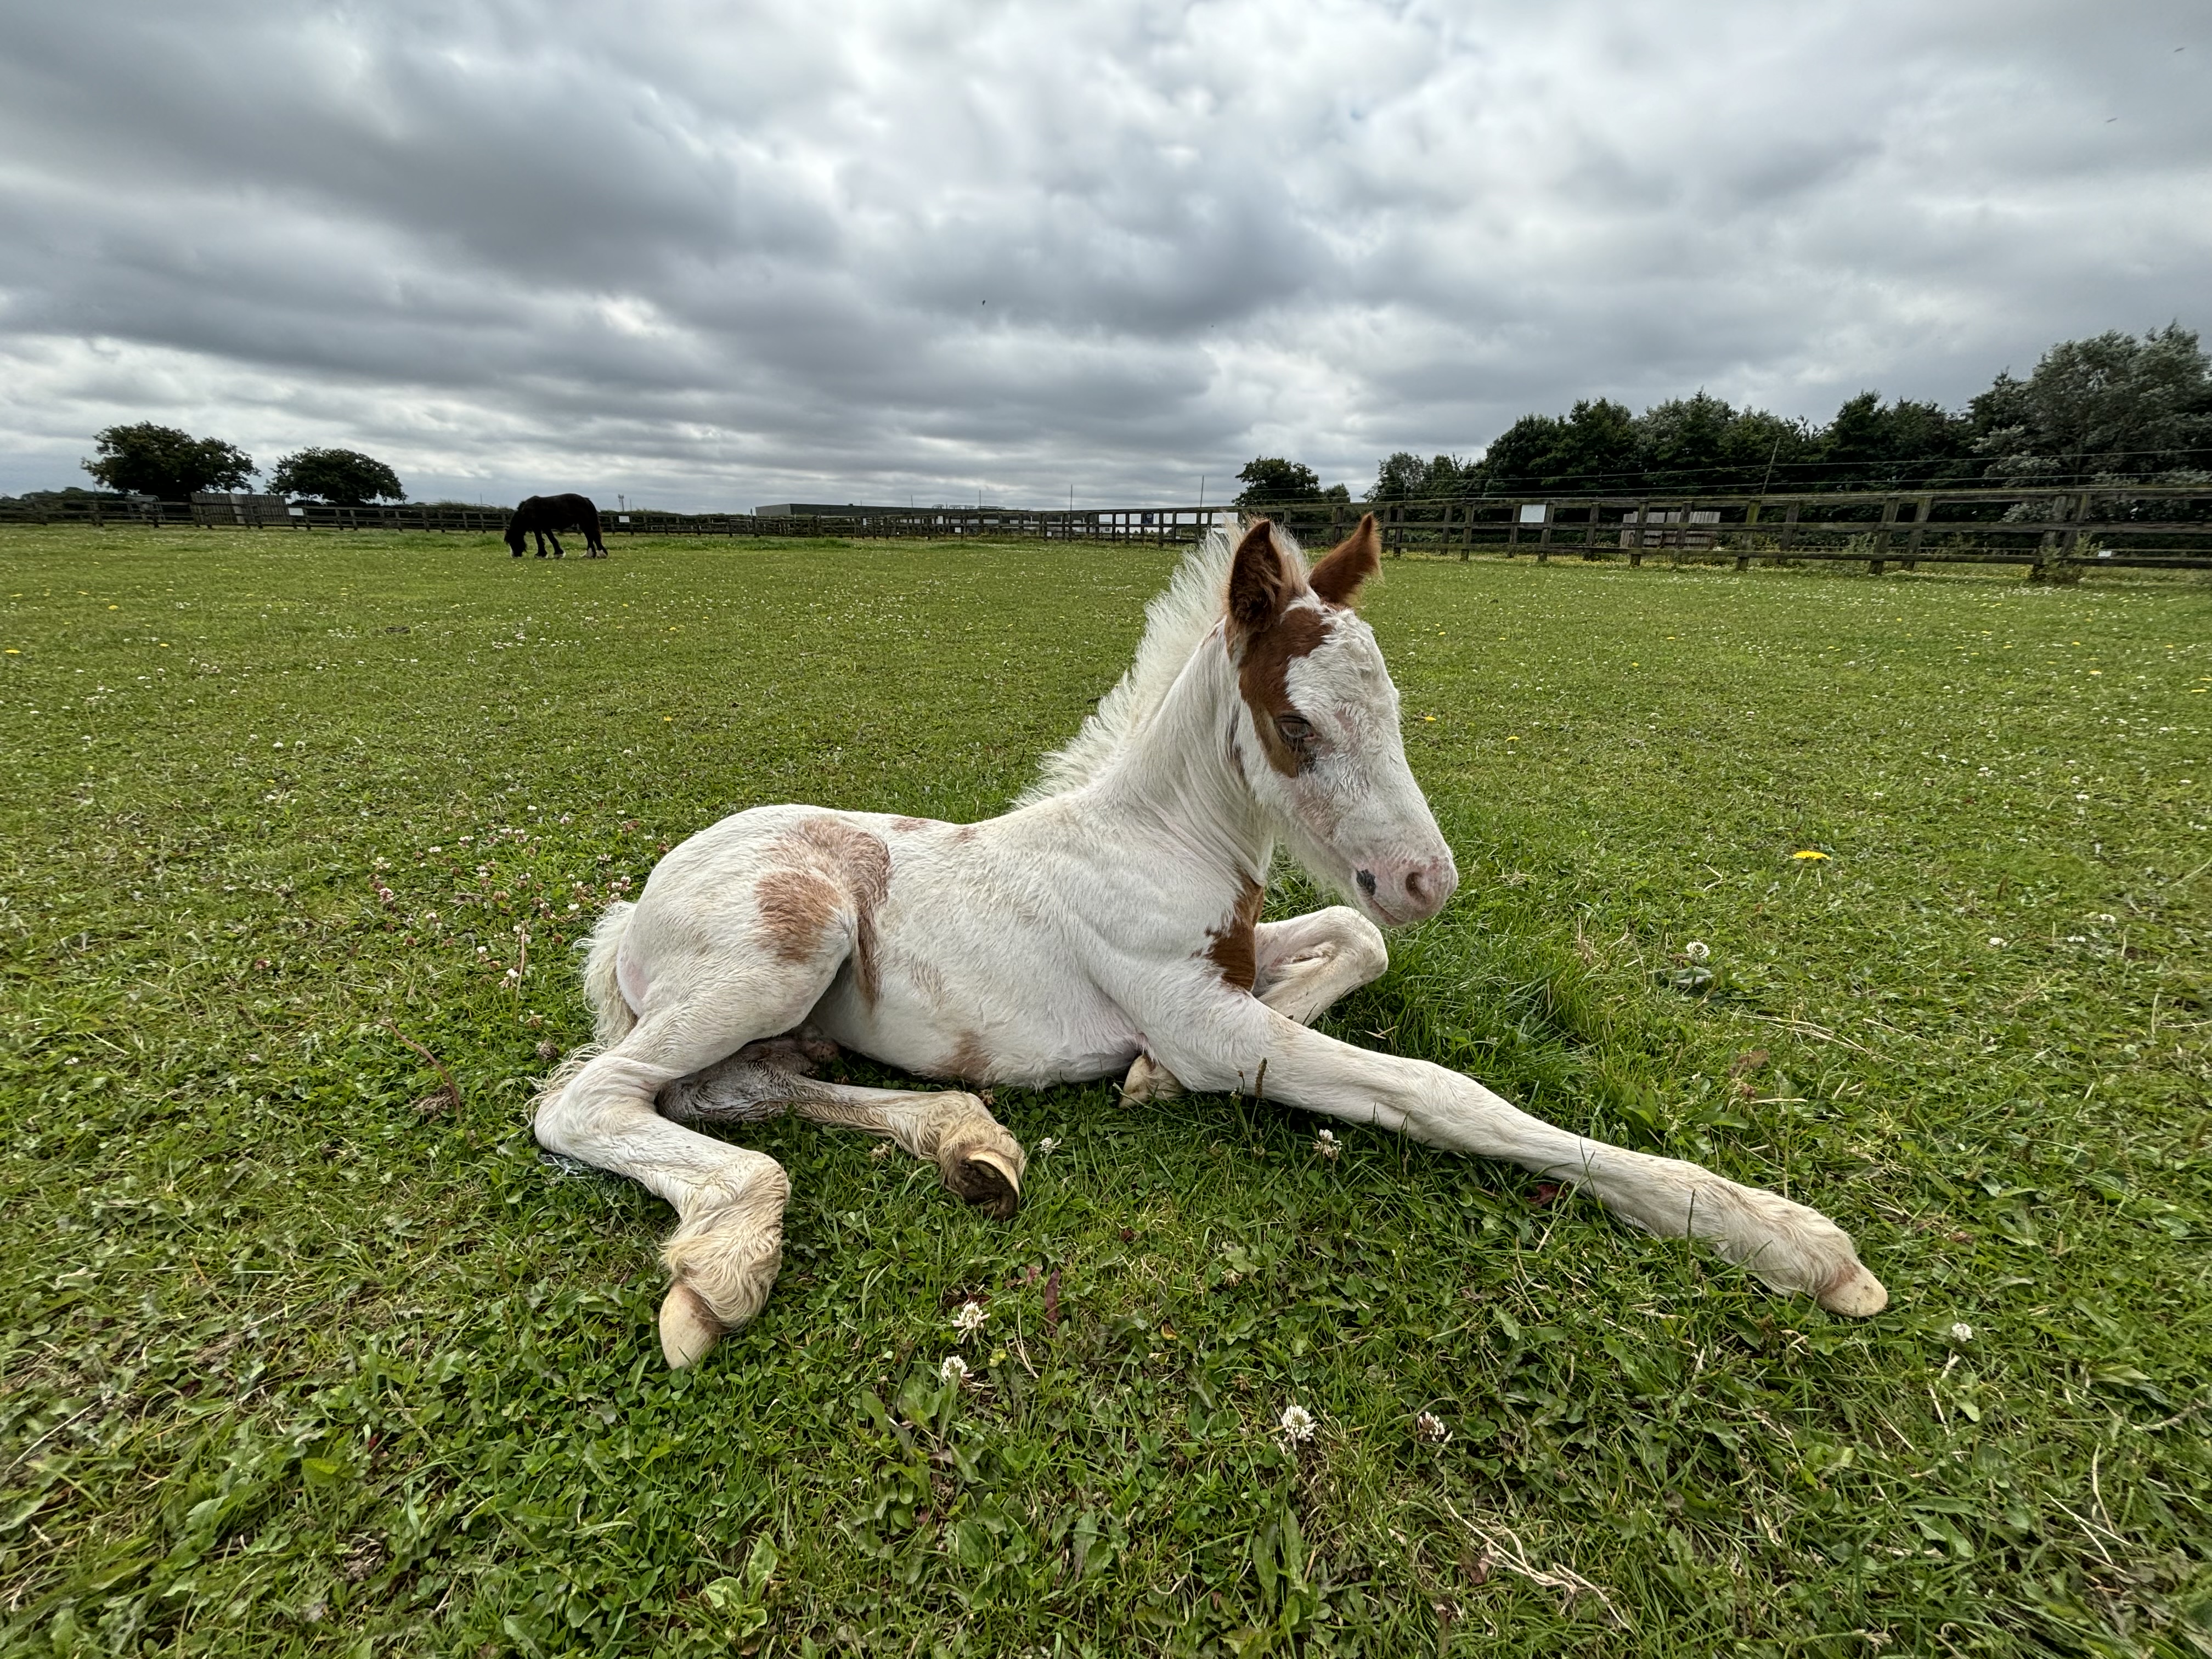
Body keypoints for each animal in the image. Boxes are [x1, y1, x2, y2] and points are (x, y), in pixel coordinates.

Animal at [506, 493, 609, 558]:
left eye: (512, 541)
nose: (514, 555)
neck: (527, 510)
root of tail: (586, 500)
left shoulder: (537, 527)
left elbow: (540, 540)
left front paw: (541, 555)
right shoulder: (545, 527)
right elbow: (552, 539)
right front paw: (558, 553)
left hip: (585, 523)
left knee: (592, 536)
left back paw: (599, 554)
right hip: (584, 524)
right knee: (590, 537)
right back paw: (590, 555)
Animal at [534, 515, 1888, 1367]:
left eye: (1397, 707)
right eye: (1296, 725)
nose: (1428, 879)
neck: (1155, 839)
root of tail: (633, 909)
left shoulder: (1232, 971)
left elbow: (1352, 941)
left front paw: (1149, 1077)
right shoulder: (1198, 1013)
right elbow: (1441, 1092)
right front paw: (1780, 1234)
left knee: (737, 1088)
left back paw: (967, 1140)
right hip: (788, 937)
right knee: (591, 1101)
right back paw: (728, 1259)